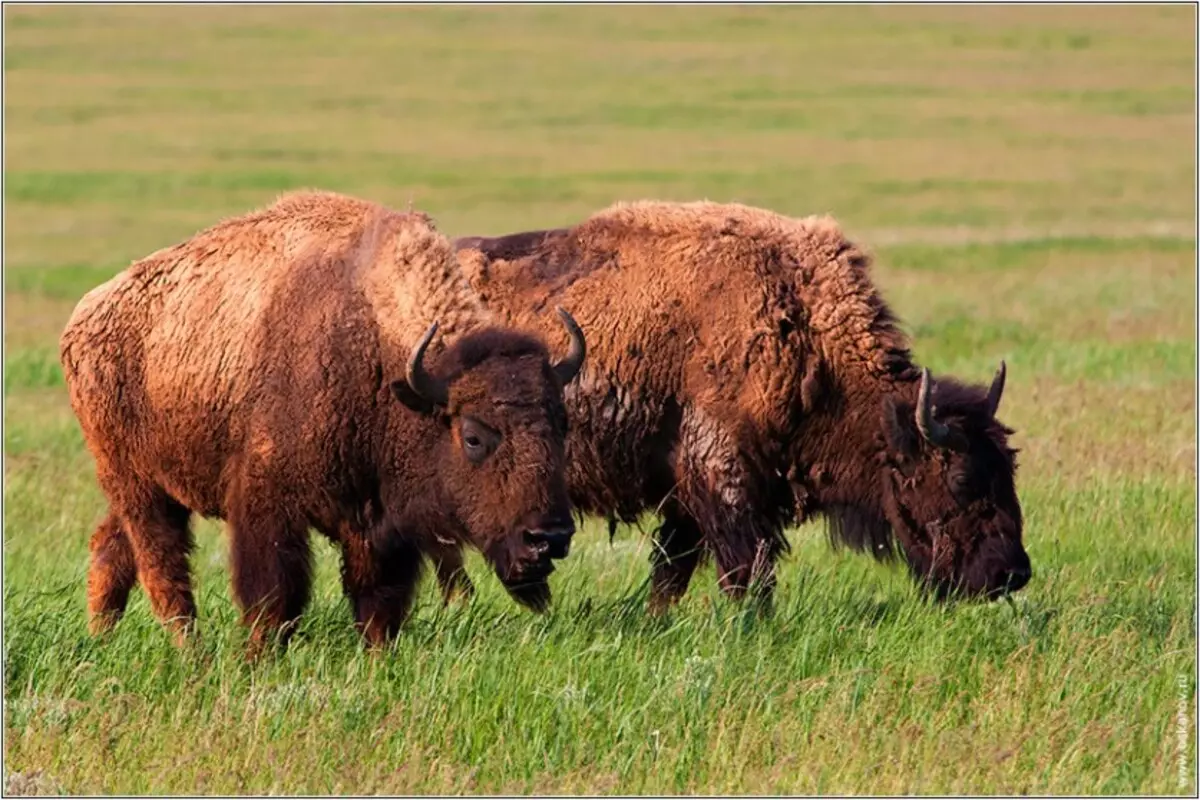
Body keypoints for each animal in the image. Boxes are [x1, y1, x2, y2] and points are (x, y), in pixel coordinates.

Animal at [60, 191, 585, 652]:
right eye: (473, 437)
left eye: (562, 426)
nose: (548, 538)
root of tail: (85, 314)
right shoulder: (268, 506)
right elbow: (275, 596)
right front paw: (259, 657)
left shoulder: (378, 520)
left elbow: (377, 599)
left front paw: (378, 657)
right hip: (135, 485)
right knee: (162, 566)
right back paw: (189, 650)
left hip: (157, 484)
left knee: (111, 547)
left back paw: (101, 636)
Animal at [453, 200, 1036, 606]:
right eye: (960, 478)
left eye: (1008, 469)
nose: (1011, 573)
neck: (804, 333)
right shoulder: (723, 478)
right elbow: (745, 571)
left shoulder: (687, 498)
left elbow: (672, 571)